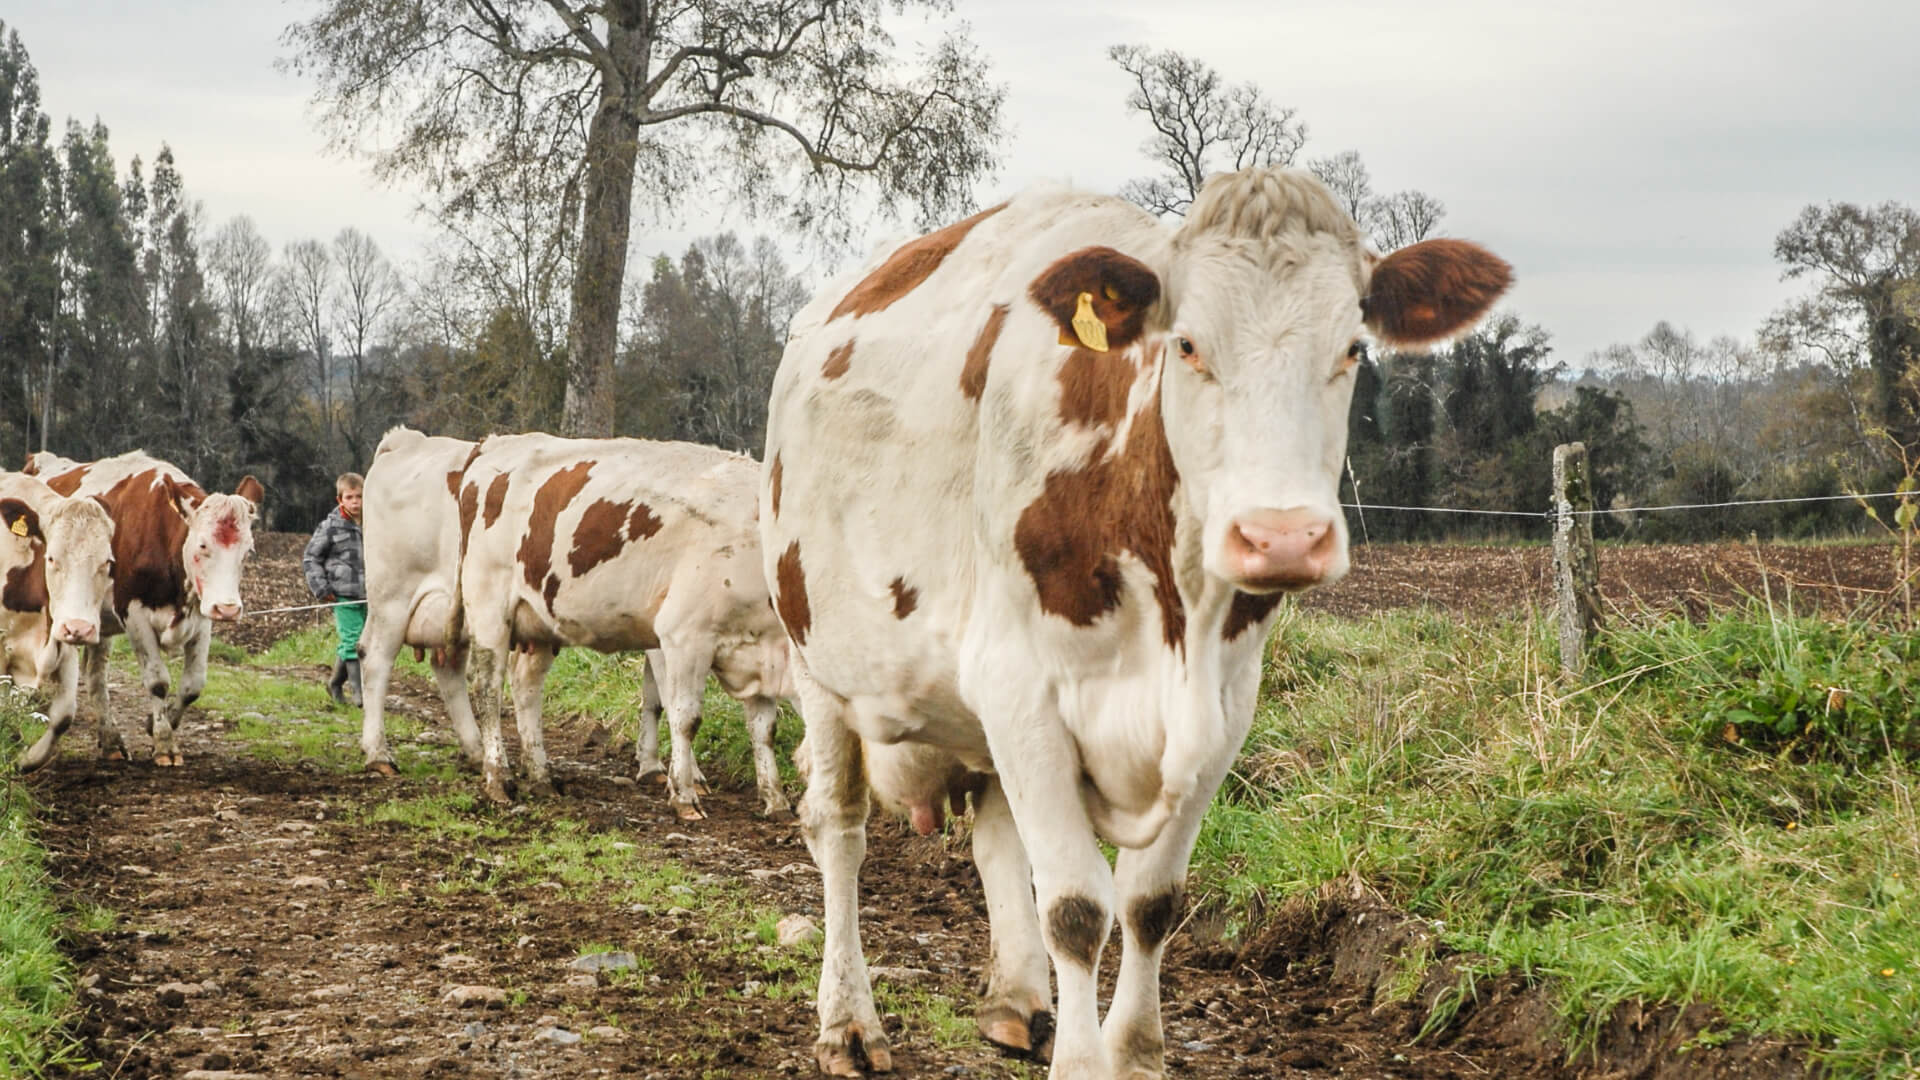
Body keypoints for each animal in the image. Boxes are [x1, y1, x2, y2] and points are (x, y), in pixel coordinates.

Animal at [0, 474, 118, 770]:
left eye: (107, 562)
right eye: (52, 558)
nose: (80, 628)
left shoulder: (63, 640)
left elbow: (63, 716)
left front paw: (27, 758)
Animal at [24, 451, 264, 767]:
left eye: (248, 550)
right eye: (202, 545)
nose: (227, 609)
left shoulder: (201, 615)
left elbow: (193, 685)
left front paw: (157, 724)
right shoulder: (134, 613)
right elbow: (157, 681)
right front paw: (165, 744)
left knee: (96, 678)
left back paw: (111, 741)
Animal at [458, 434, 797, 818]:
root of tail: (494, 442)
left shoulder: (760, 650)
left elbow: (764, 729)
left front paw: (776, 800)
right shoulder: (684, 636)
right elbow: (686, 718)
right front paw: (684, 795)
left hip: (540, 621)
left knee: (526, 687)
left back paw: (540, 775)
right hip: (489, 607)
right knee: (488, 690)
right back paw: (497, 778)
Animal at [761, 167, 1510, 1077]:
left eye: (1354, 348)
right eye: (1185, 345)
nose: (1282, 537)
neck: (1175, 608)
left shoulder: (1226, 707)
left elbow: (1151, 901)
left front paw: (1139, 1054)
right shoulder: (1021, 689)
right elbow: (1078, 910)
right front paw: (1083, 1064)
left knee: (994, 837)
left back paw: (1015, 1000)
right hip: (816, 656)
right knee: (838, 827)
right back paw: (848, 1023)